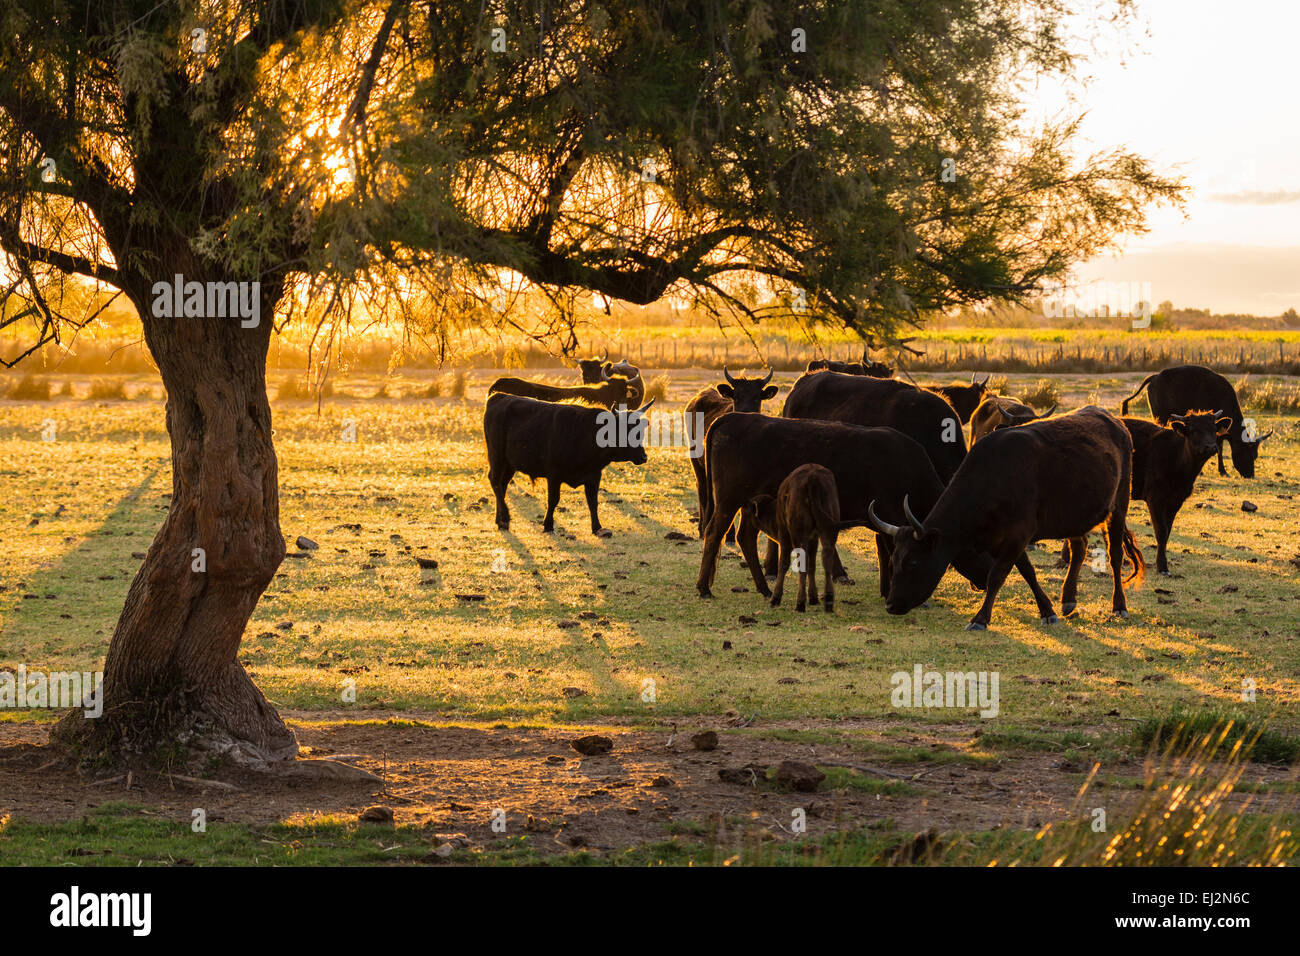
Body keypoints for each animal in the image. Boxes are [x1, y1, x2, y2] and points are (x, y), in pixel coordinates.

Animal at [483, 393, 655, 537]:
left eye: (640, 431)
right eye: (625, 430)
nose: (643, 457)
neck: (586, 434)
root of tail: (498, 397)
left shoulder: (594, 477)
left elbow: (593, 502)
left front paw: (597, 527)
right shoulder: (554, 476)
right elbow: (553, 500)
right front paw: (548, 525)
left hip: (509, 464)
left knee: (502, 485)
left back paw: (500, 520)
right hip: (497, 457)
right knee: (495, 482)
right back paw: (505, 518)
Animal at [745, 464, 851, 613]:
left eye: (750, 508)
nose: (744, 505)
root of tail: (813, 478)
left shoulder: (784, 535)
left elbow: (784, 564)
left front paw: (776, 598)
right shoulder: (813, 538)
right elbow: (812, 565)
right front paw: (813, 598)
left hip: (798, 533)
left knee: (802, 563)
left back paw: (800, 603)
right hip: (828, 528)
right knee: (826, 558)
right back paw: (828, 600)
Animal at [868, 406, 1144, 630]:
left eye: (913, 562)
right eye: (894, 558)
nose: (891, 605)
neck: (996, 477)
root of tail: (1116, 422)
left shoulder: (1017, 536)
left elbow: (997, 576)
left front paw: (980, 619)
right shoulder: (1009, 539)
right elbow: (1028, 572)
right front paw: (1047, 610)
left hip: (1119, 505)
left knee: (1116, 555)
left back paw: (1119, 605)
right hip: (1074, 516)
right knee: (1079, 549)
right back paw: (1068, 599)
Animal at [1121, 365, 1270, 477]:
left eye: (1255, 456)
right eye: (1247, 453)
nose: (1250, 475)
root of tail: (1155, 377)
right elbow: (1218, 447)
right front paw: (1220, 471)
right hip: (1160, 416)